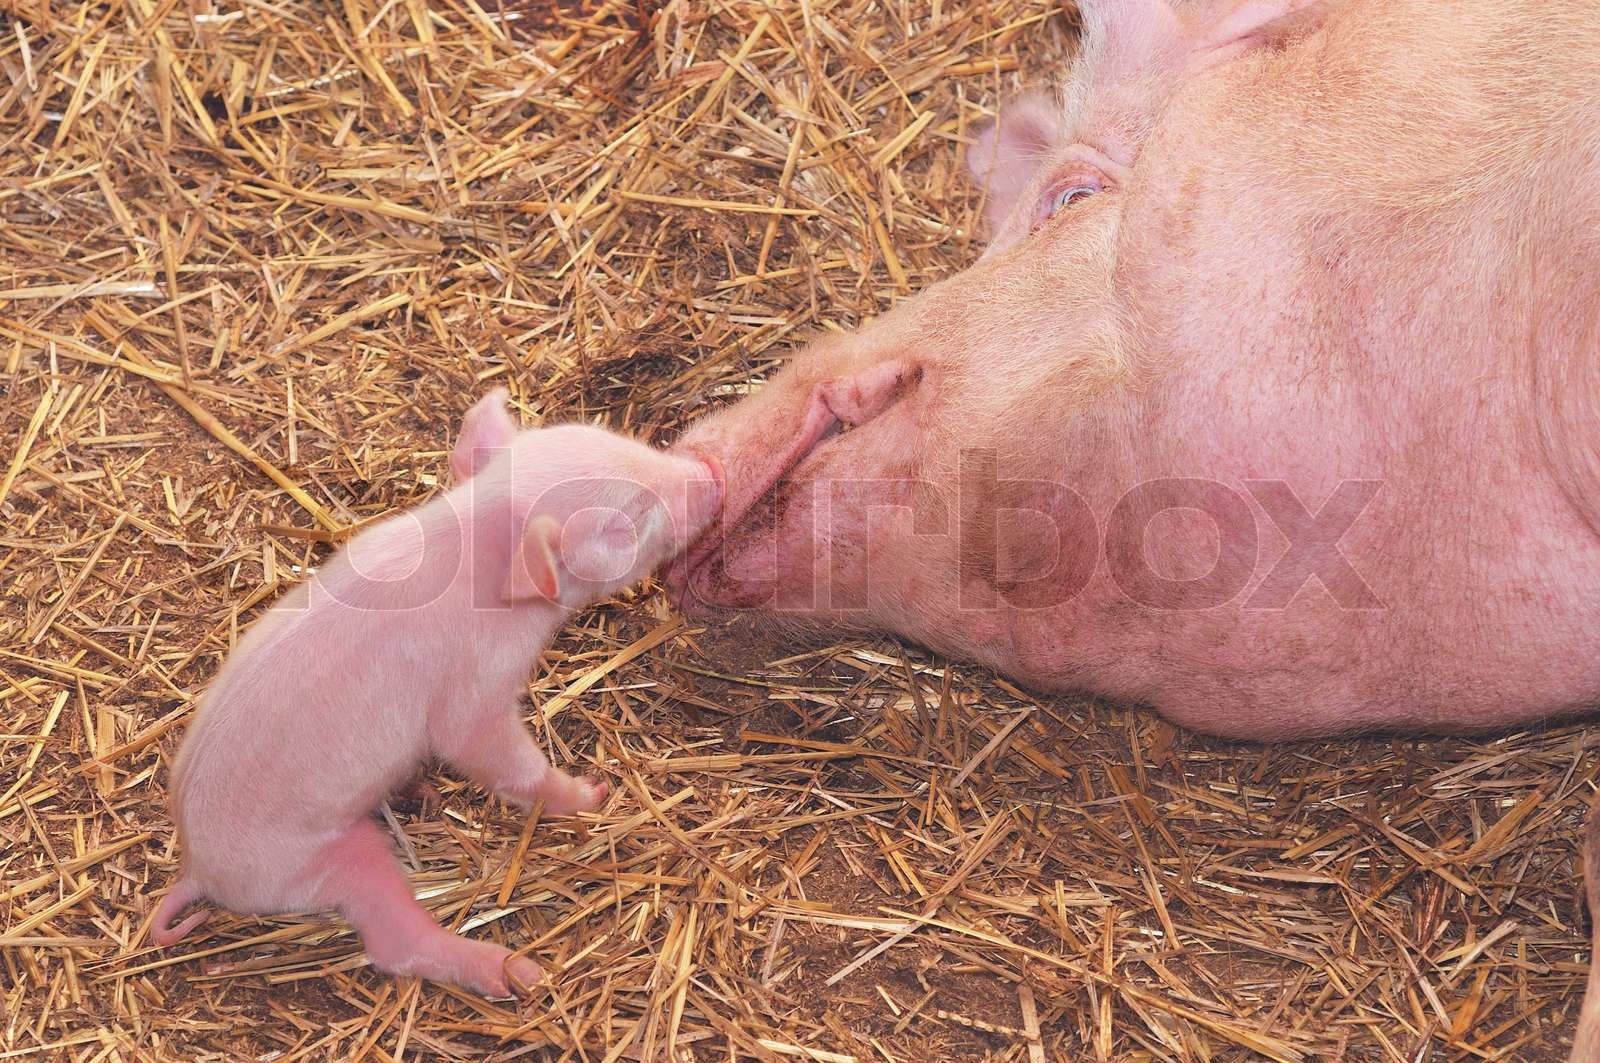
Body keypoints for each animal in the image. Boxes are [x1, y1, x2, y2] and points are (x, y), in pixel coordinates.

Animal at [150, 389, 721, 998]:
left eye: (624, 442)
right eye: (627, 519)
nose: (711, 472)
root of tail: (199, 870)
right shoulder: (474, 682)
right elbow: (486, 751)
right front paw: (591, 793)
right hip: (319, 860)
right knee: (391, 938)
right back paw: (515, 973)